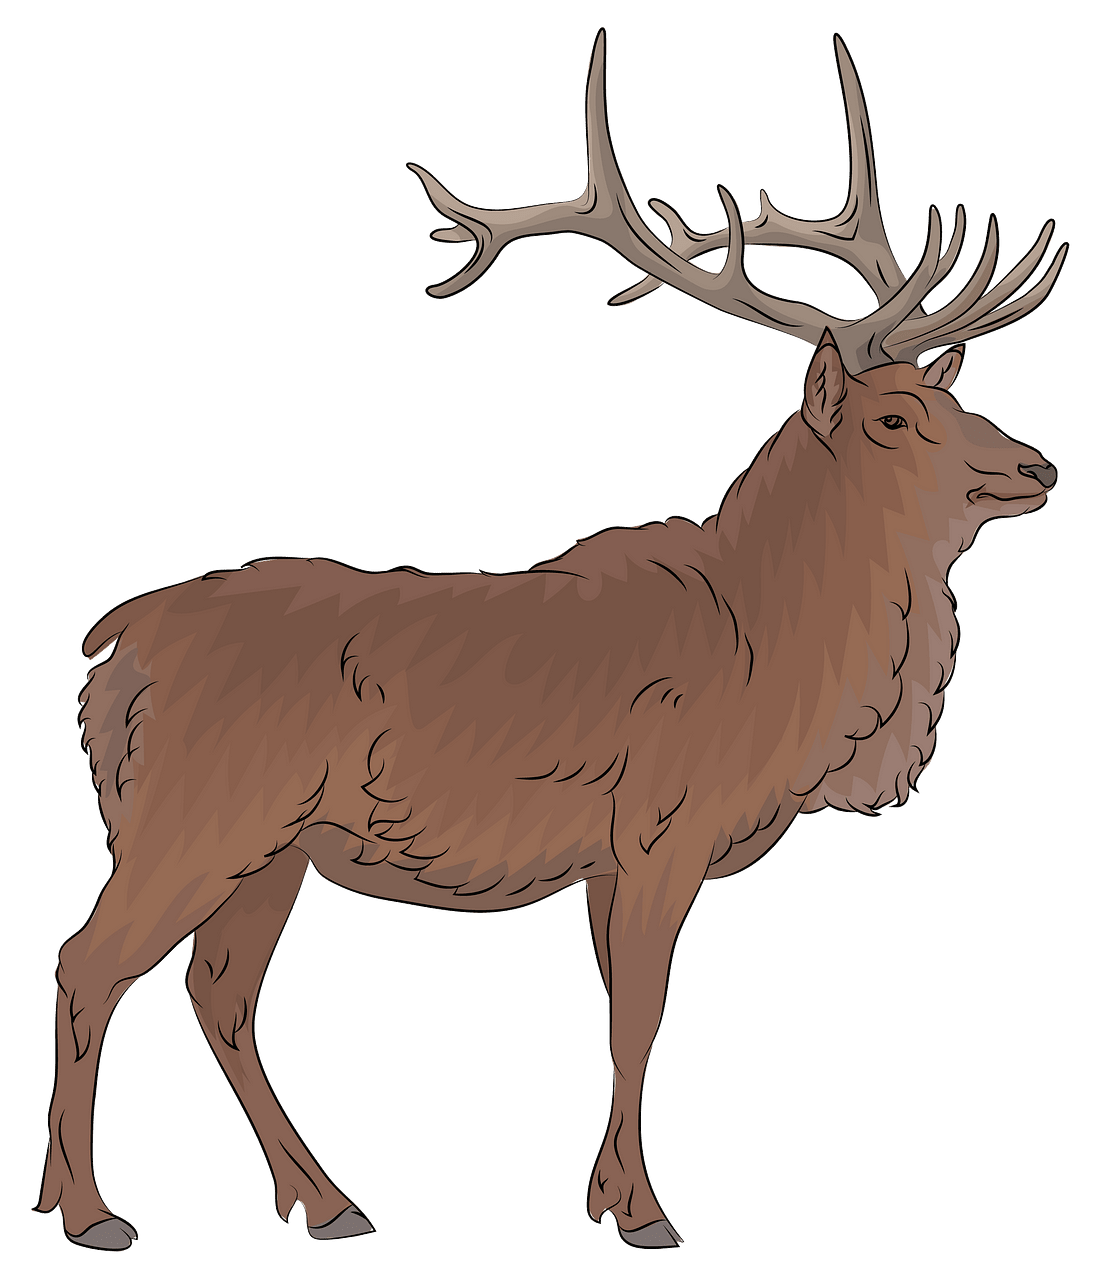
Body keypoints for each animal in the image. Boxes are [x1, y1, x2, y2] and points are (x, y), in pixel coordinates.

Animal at [36, 27, 1065, 1254]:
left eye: (954, 396)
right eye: (895, 417)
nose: (1038, 466)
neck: (781, 663)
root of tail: (117, 648)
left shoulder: (605, 858)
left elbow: (615, 1011)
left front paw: (601, 1197)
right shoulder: (664, 827)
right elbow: (642, 1017)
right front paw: (648, 1216)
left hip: (270, 847)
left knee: (218, 991)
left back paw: (322, 1200)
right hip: (196, 815)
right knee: (90, 963)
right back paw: (90, 1211)